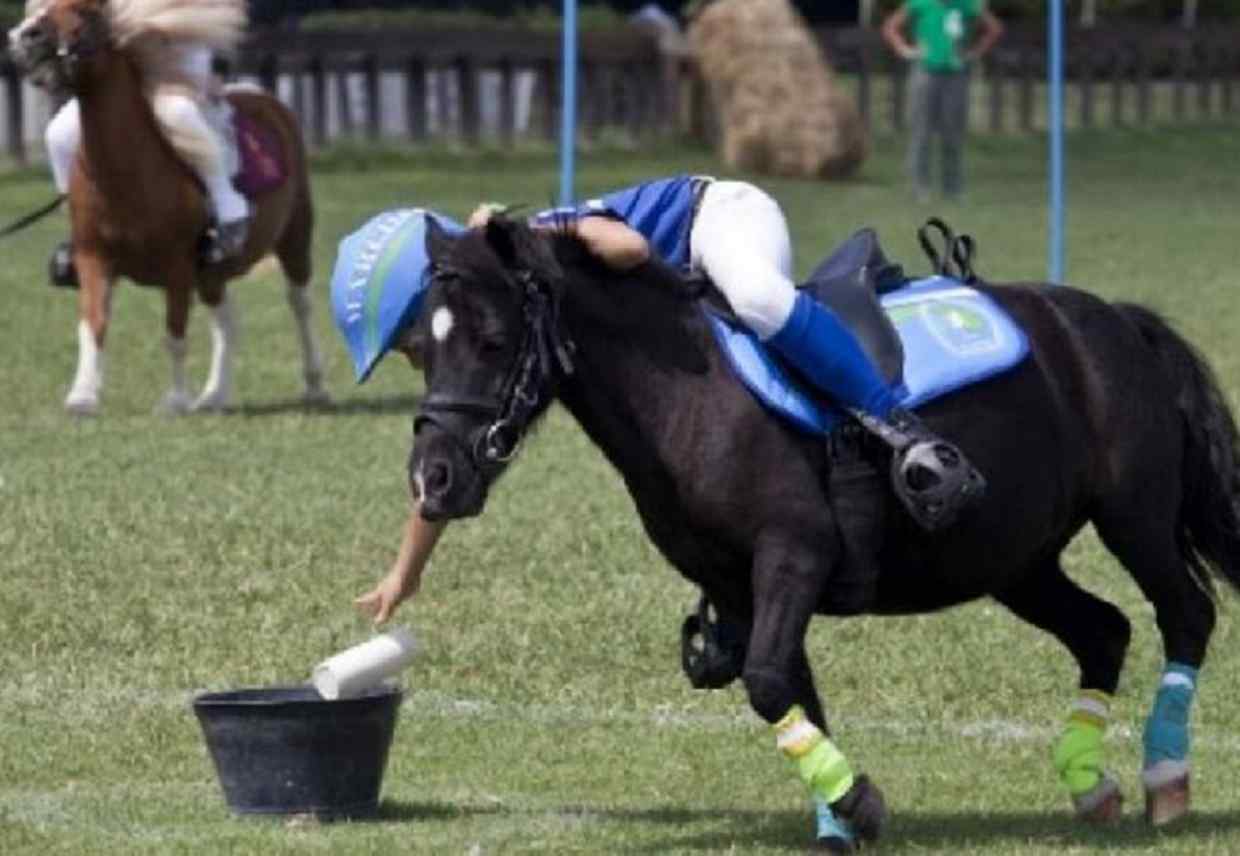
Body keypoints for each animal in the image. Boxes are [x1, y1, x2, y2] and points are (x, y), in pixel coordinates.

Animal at [8, 0, 328, 415]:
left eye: (85, 15)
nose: (23, 37)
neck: (127, 175)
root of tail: (266, 99)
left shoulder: (178, 268)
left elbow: (174, 333)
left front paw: (175, 400)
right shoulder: (94, 259)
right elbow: (93, 325)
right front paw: (82, 397)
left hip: (295, 237)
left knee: (300, 303)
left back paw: (314, 386)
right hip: (212, 275)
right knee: (228, 320)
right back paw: (213, 396)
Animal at [404, 215, 1240, 850]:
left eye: (492, 339)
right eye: (421, 348)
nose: (431, 479)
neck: (685, 393)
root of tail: (1117, 320)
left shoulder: (793, 554)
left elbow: (769, 681)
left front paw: (857, 802)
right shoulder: (738, 584)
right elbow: (790, 688)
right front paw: (839, 815)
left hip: (1133, 517)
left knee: (1185, 613)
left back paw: (1165, 778)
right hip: (1015, 561)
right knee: (1104, 630)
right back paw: (1090, 785)